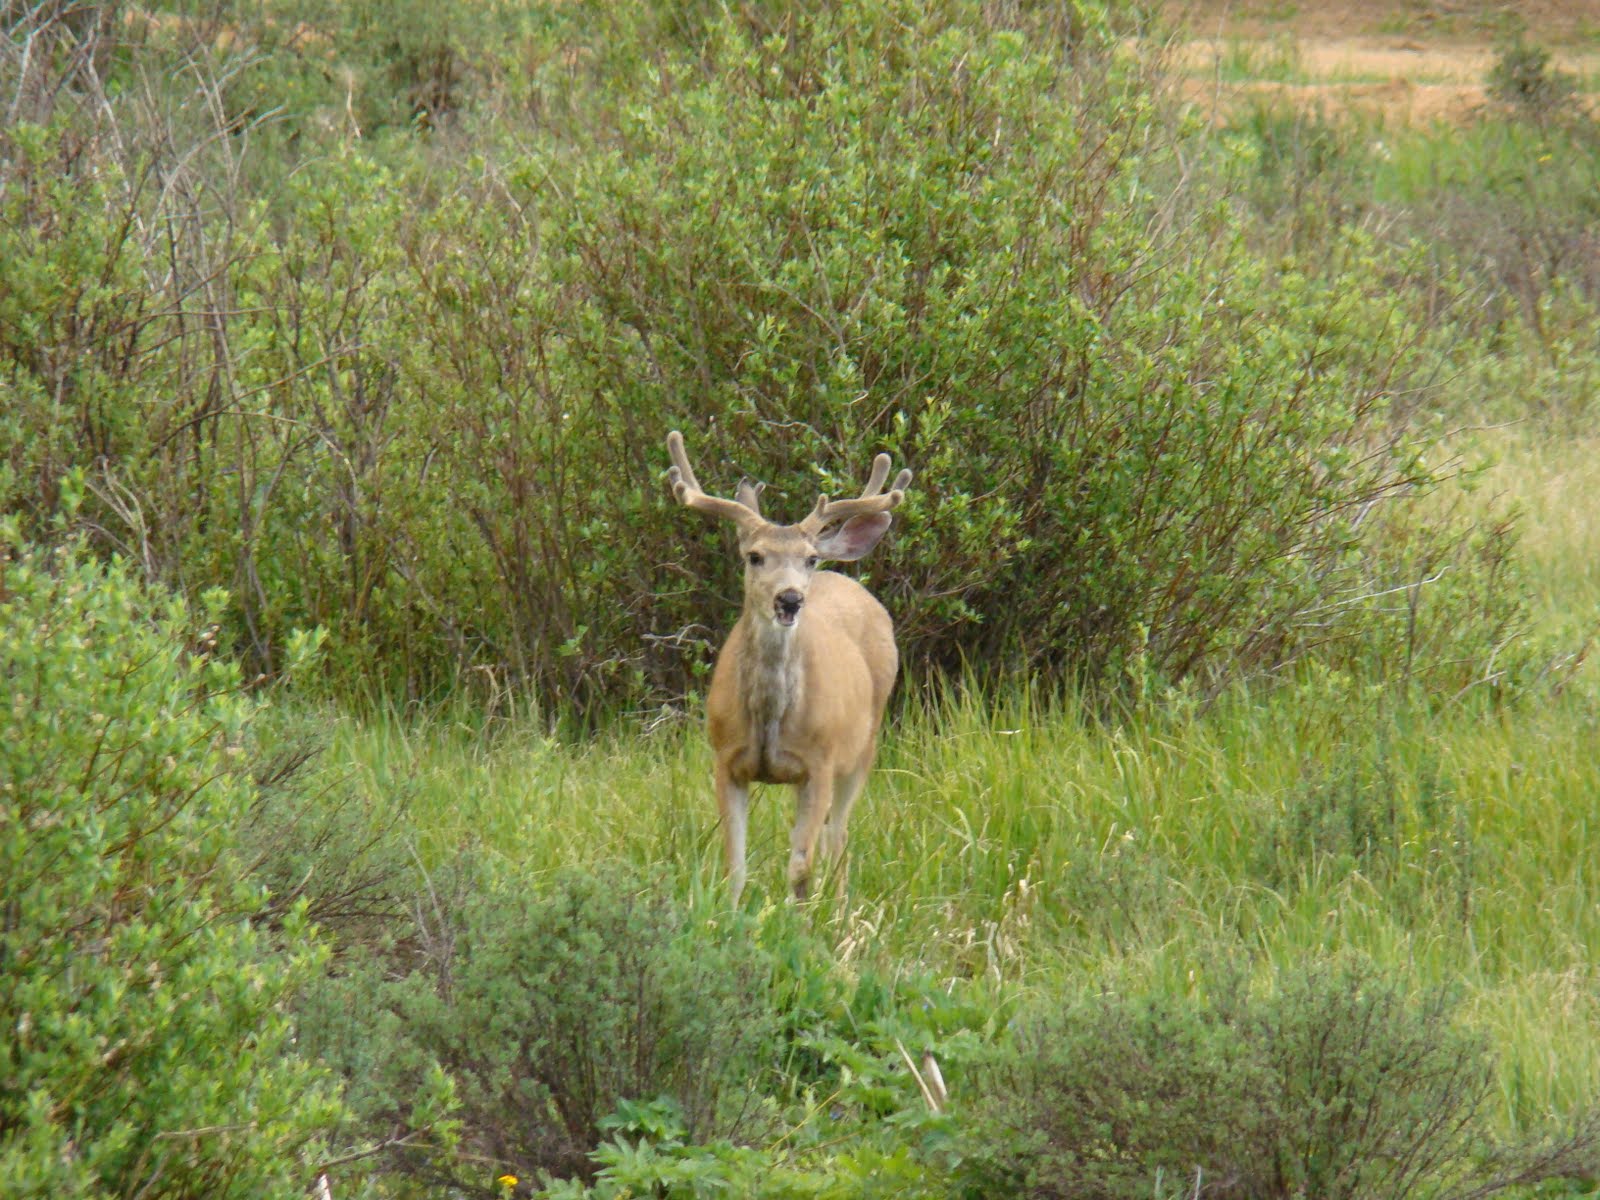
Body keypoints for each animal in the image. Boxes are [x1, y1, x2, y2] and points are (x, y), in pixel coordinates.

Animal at [666, 430, 912, 903]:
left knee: (839, 835)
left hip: (864, 746)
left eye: (810, 558)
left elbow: (800, 867)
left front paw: (798, 917)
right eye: (755, 556)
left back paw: (839, 908)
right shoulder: (724, 759)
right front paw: (728, 913)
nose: (791, 598)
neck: (770, 716)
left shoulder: (820, 763)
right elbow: (735, 865)